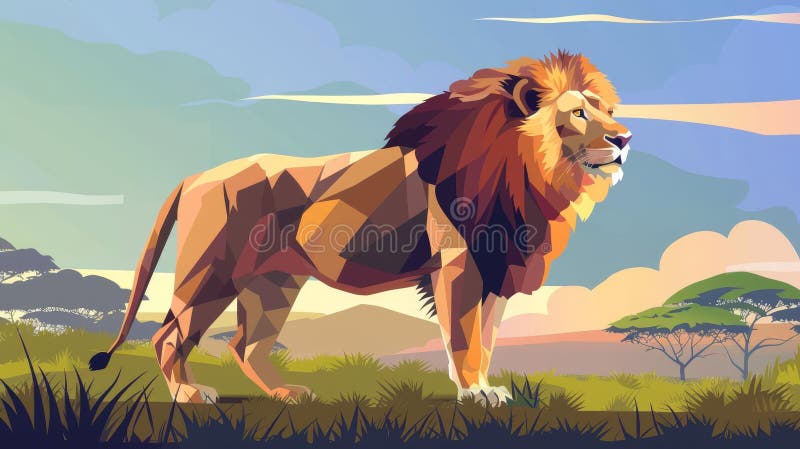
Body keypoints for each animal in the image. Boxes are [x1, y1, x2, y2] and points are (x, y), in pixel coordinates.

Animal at [90, 51, 631, 406]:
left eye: (607, 111)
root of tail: (195, 176)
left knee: (246, 345)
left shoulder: (499, 272)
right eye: (578, 112)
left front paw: (484, 387)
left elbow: (488, 339)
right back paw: (187, 393)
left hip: (274, 283)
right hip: (209, 273)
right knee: (168, 336)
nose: (625, 138)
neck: (530, 174)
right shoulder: (460, 266)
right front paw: (476, 393)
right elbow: (465, 339)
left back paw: (285, 393)